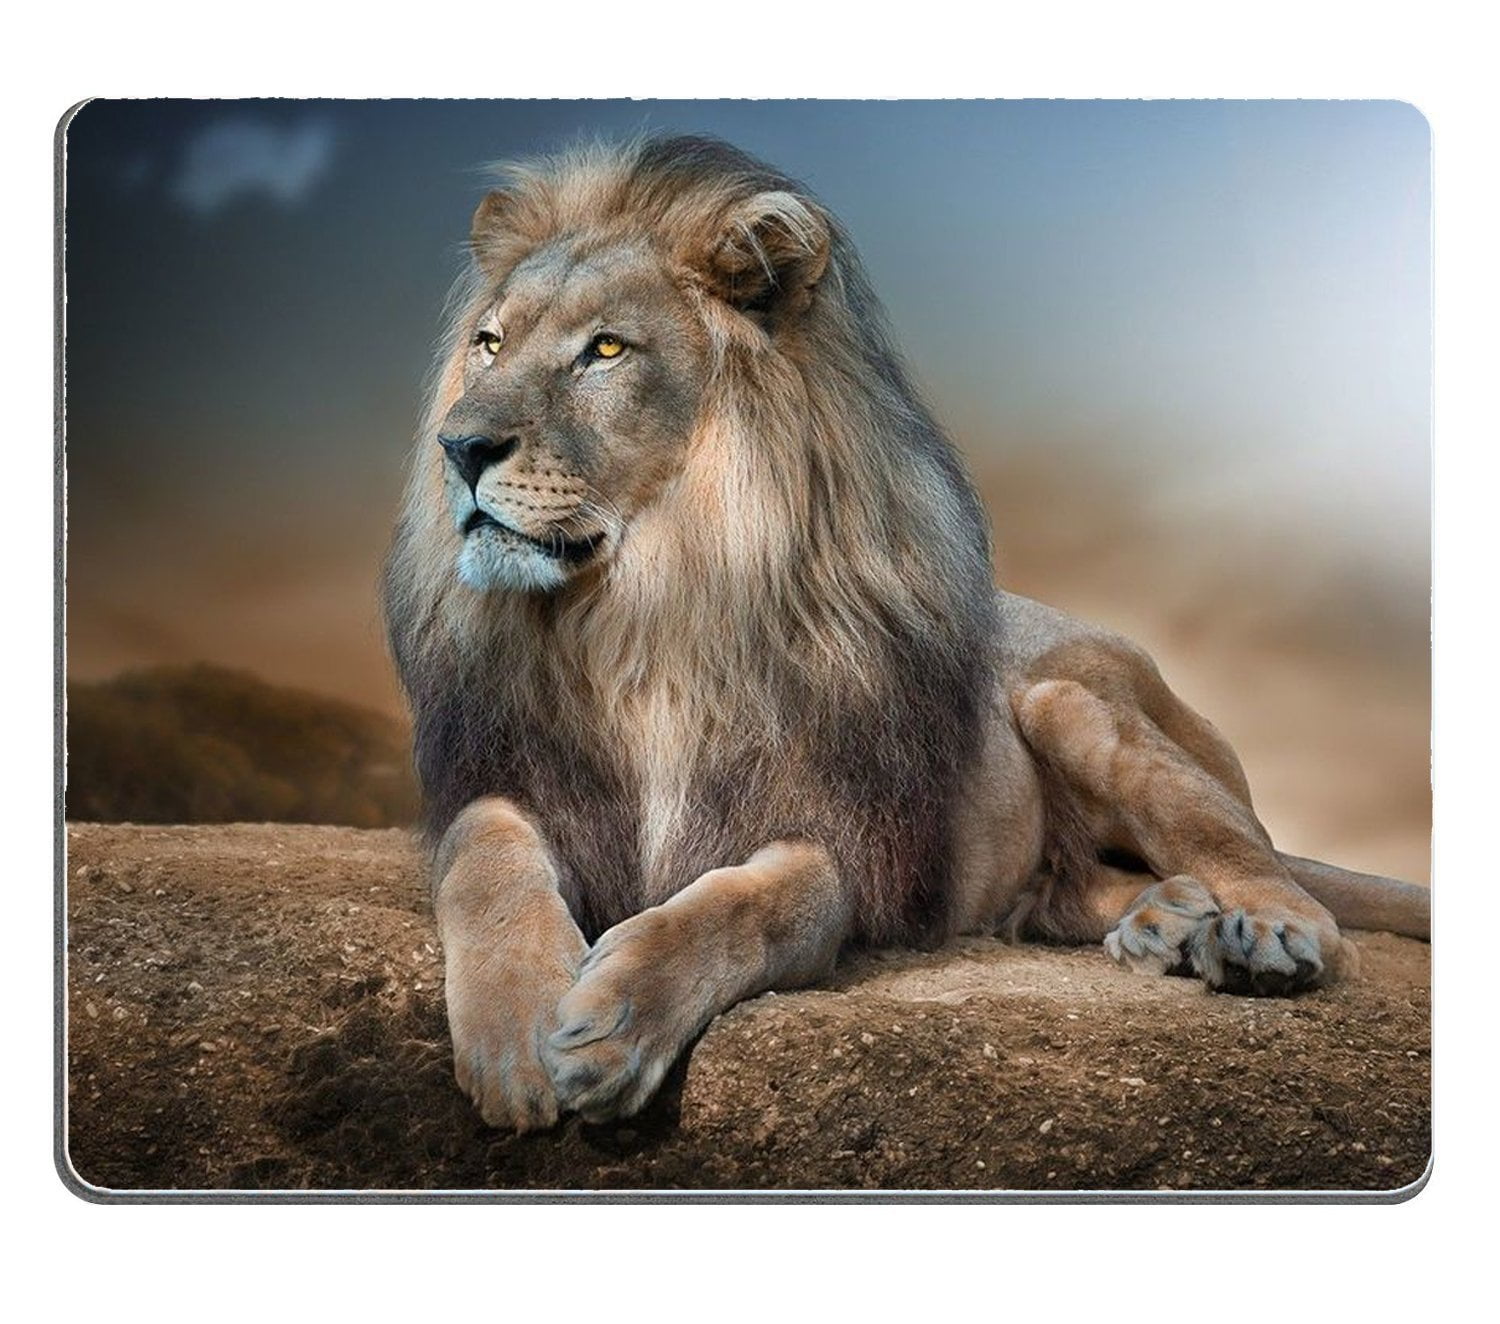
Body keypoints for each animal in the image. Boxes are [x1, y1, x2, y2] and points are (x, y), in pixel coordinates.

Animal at [383, 135, 1429, 1131]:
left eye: (604, 351)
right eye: (488, 343)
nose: (459, 448)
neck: (647, 613)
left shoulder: (831, 829)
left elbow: (755, 905)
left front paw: (617, 1020)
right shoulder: (515, 776)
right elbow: (483, 859)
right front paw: (518, 1033)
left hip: (1071, 703)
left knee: (1266, 867)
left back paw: (1257, 936)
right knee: (1068, 887)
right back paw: (1163, 920)